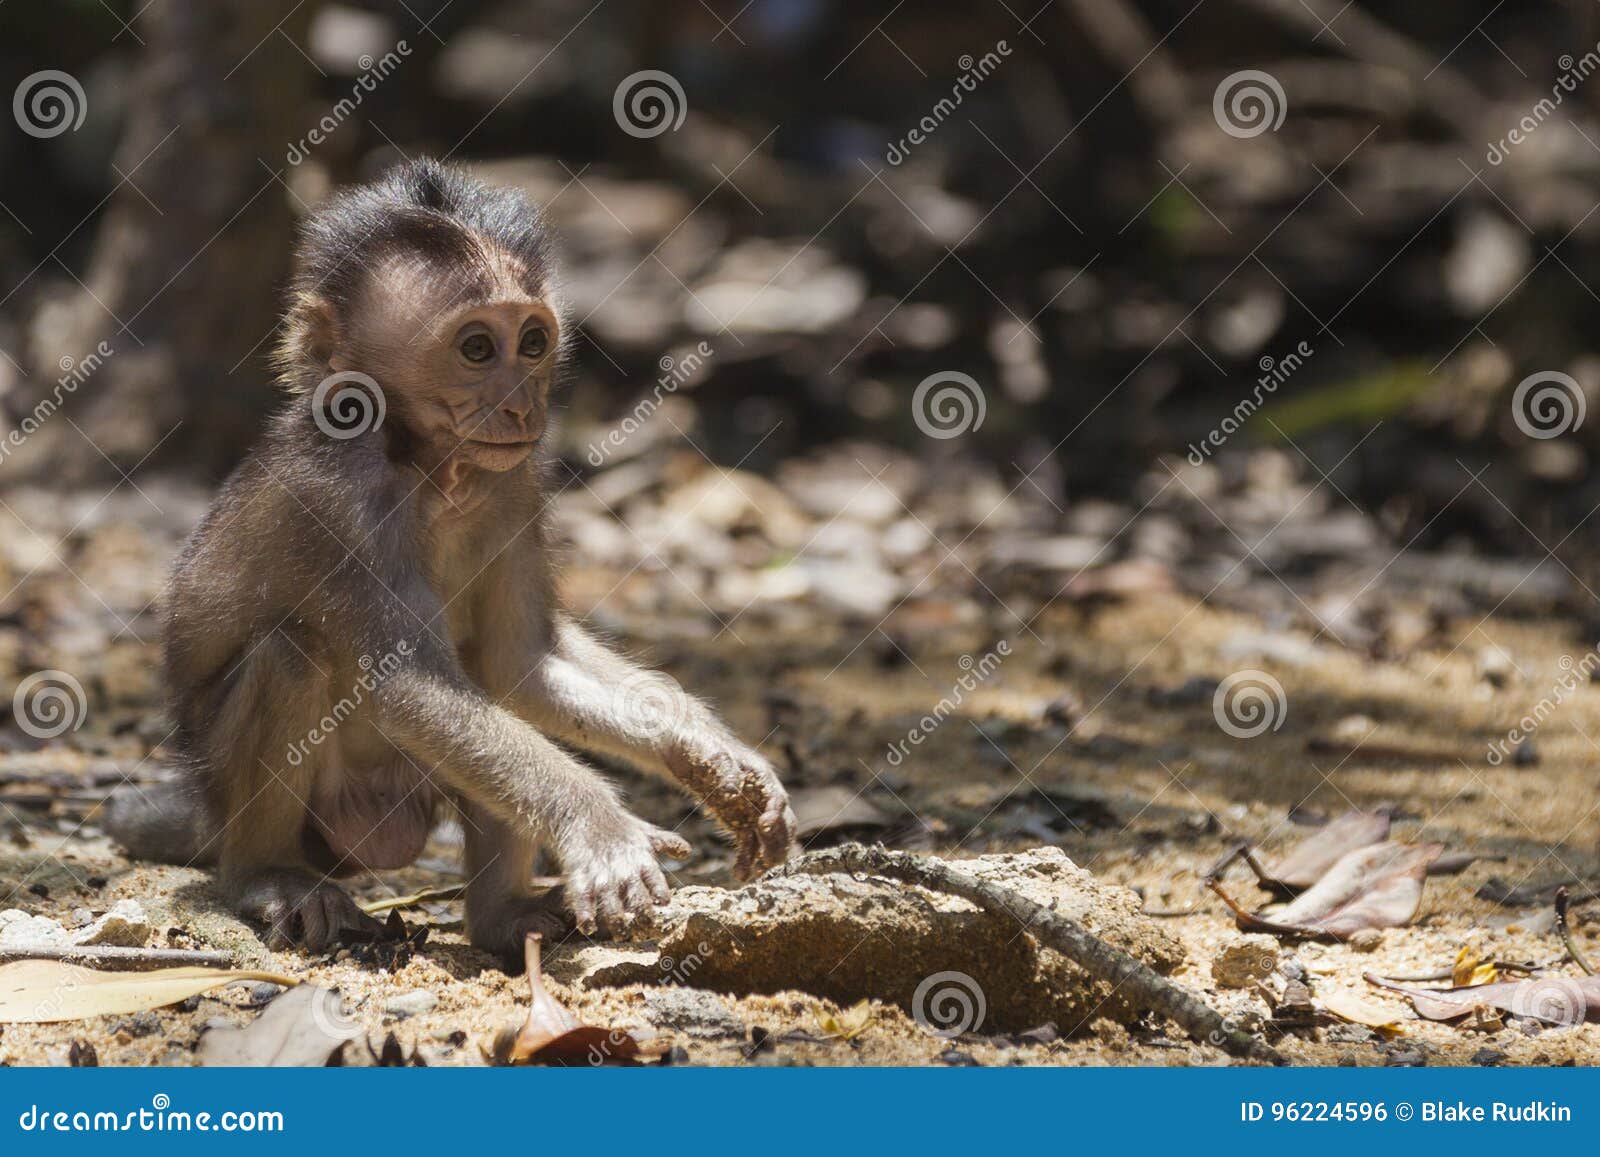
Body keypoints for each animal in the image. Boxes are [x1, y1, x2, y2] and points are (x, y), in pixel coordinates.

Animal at [106, 159, 796, 960]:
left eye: (532, 341)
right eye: (476, 350)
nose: (522, 401)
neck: (431, 466)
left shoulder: (515, 483)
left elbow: (519, 661)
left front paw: (707, 753)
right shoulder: (343, 502)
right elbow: (409, 686)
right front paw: (599, 824)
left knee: (483, 682)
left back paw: (499, 918)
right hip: (270, 799)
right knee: (292, 655)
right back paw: (266, 876)